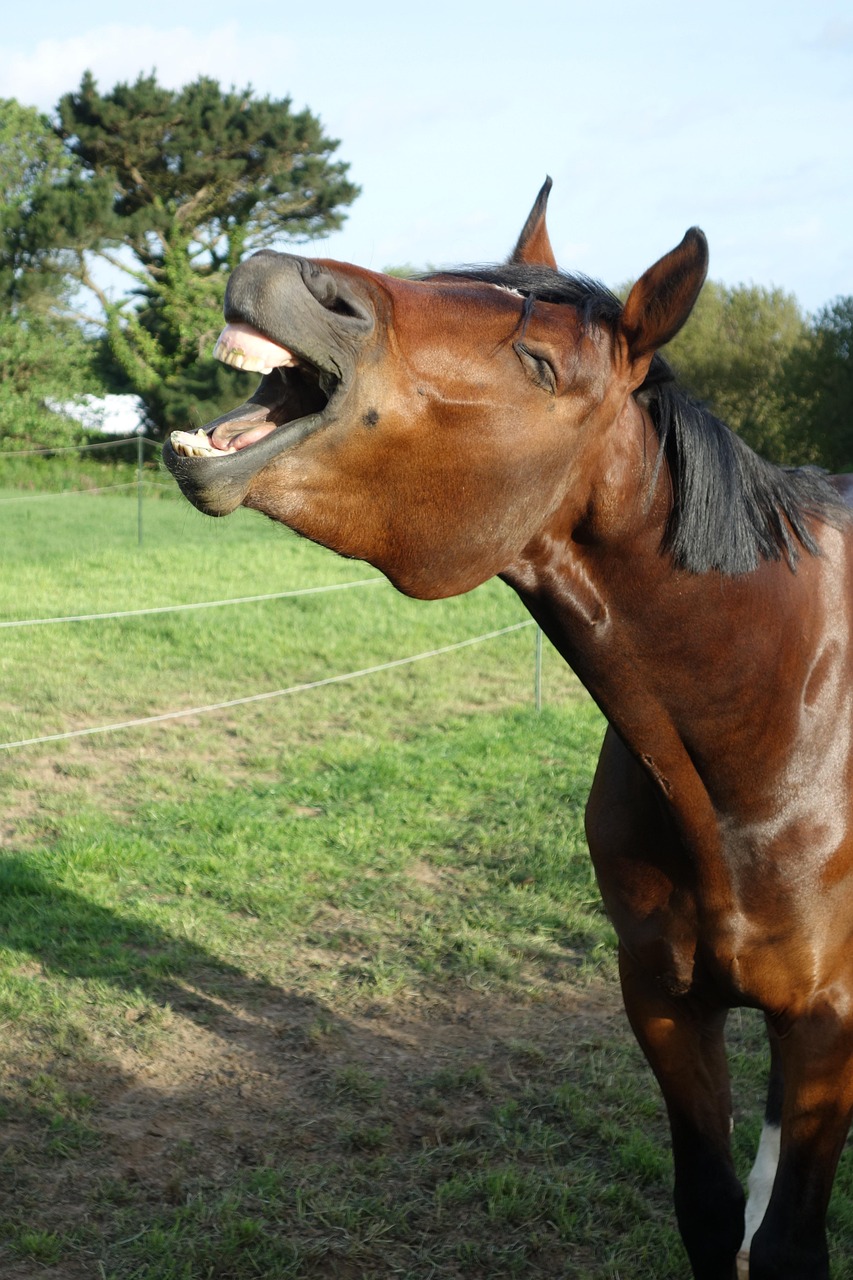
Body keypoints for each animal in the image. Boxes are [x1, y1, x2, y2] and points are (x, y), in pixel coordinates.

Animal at [164, 179, 853, 1280]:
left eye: (541, 364)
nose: (277, 274)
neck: (776, 721)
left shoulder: (827, 1024)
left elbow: (788, 1240)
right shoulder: (665, 998)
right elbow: (712, 1211)